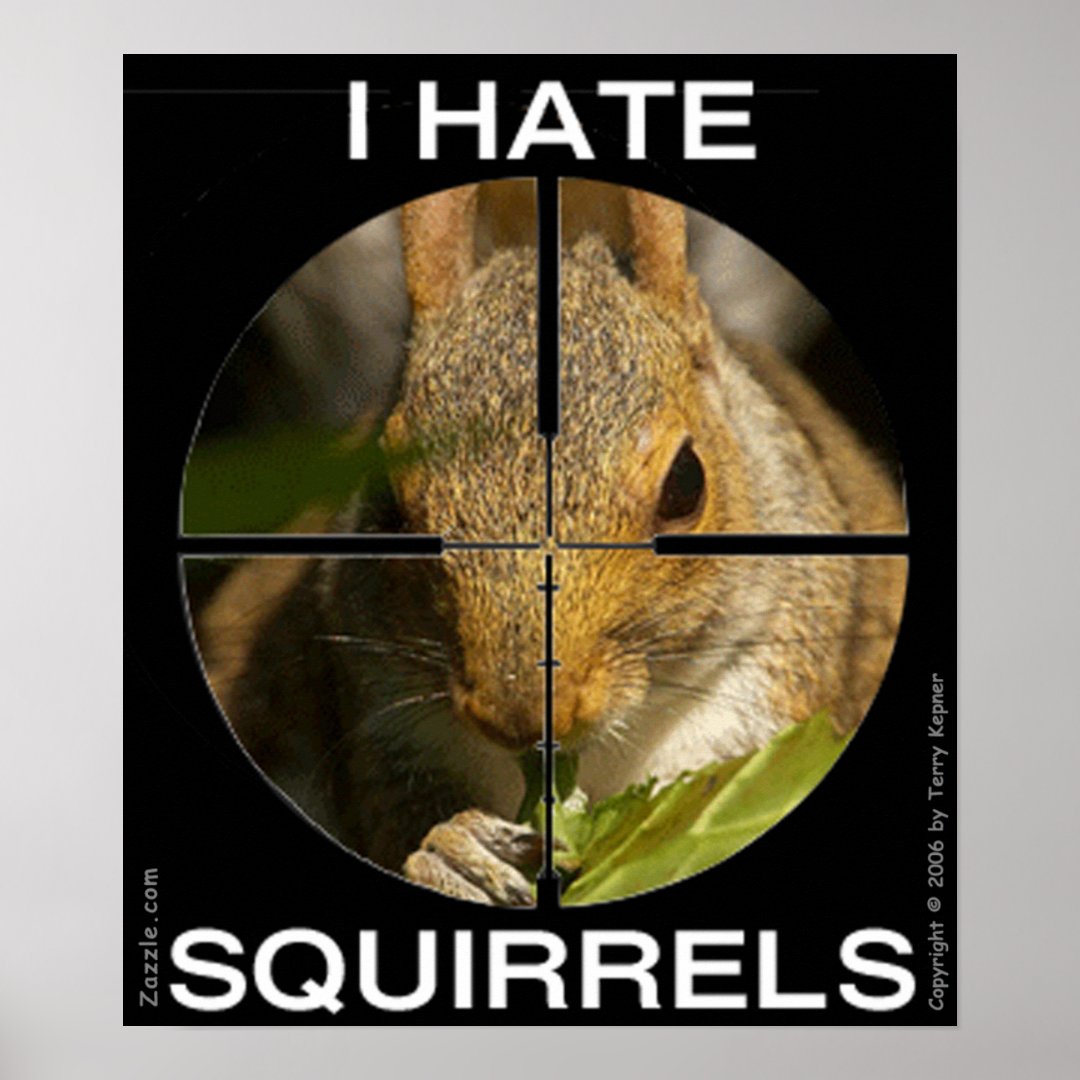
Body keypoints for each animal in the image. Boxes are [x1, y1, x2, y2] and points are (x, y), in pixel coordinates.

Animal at [194, 180, 906, 905]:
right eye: (386, 499)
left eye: (686, 482)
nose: (520, 712)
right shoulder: (381, 712)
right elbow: (392, 815)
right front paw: (452, 855)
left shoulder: (779, 678)